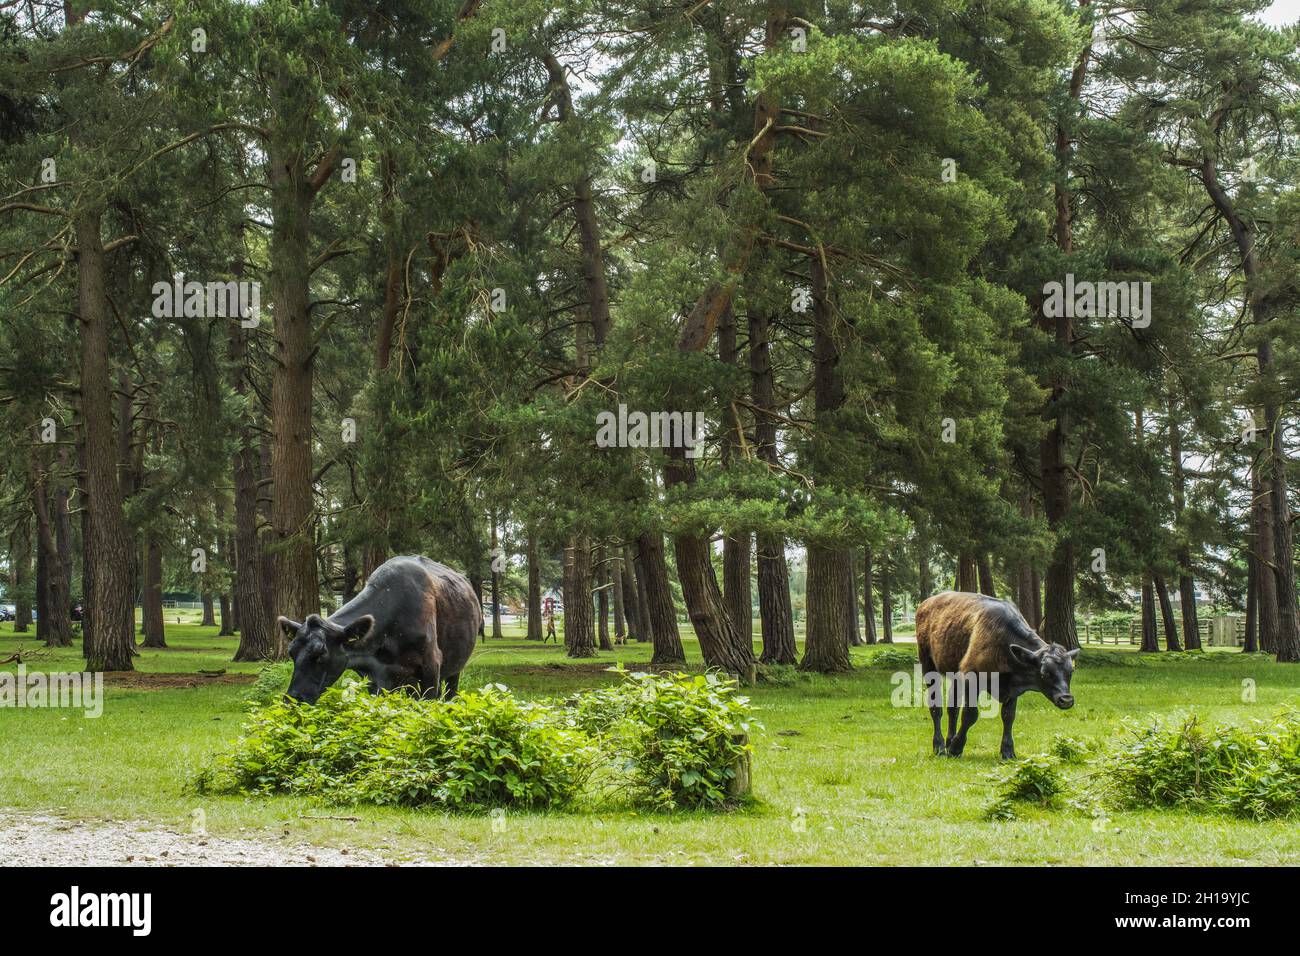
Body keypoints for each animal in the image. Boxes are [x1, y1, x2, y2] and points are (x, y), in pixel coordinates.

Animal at [277, 555, 481, 705]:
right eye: (291, 652)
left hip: (454, 671)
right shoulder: (375, 681)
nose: (293, 699)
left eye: (320, 653)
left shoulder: (431, 668)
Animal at [914, 591, 1078, 759]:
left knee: (953, 708)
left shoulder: (1012, 688)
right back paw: (939, 747)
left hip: (955, 674)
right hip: (928, 666)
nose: (1066, 699)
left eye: (1071, 671)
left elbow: (1008, 716)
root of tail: (926, 603)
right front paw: (956, 748)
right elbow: (970, 714)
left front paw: (1008, 751)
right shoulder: (971, 680)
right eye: (1045, 672)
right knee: (936, 708)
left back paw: (948, 741)